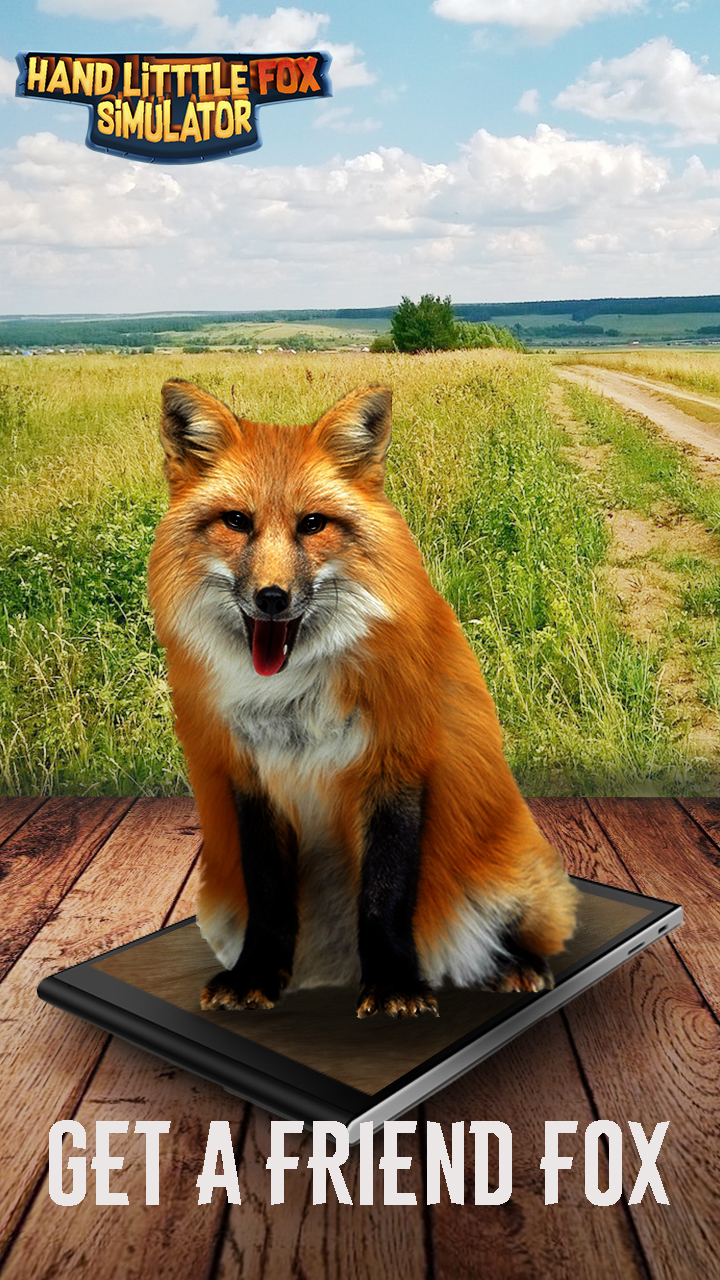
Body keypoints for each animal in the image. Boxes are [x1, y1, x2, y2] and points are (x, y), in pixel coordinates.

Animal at [148, 378, 578, 1018]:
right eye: (236, 521)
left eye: (313, 524)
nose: (271, 598)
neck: (291, 704)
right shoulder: (247, 778)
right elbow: (268, 897)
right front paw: (257, 977)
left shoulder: (396, 764)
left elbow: (384, 893)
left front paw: (395, 985)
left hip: (512, 878)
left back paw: (511, 968)